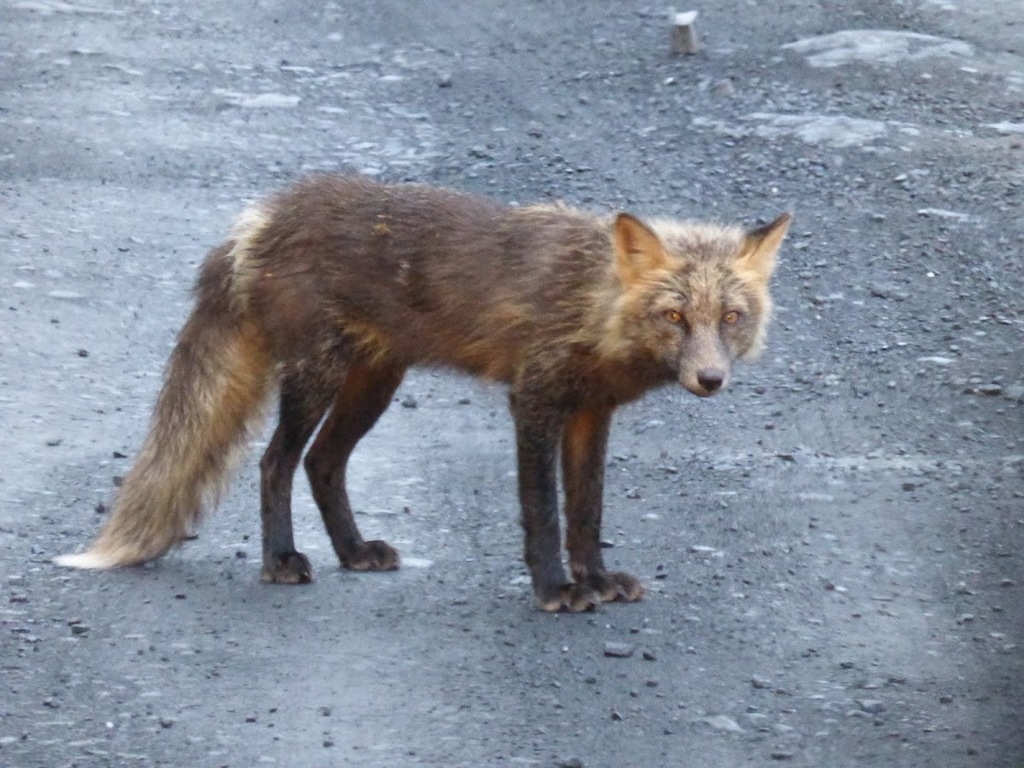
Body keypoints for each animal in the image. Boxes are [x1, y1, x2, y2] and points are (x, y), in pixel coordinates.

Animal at [55, 175, 790, 612]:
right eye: (675, 316)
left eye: (730, 317)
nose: (711, 379)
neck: (592, 303)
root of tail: (259, 215)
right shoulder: (534, 399)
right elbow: (544, 512)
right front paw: (556, 587)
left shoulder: (591, 412)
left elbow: (587, 512)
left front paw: (597, 580)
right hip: (317, 376)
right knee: (275, 462)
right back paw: (281, 561)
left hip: (375, 384)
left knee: (322, 463)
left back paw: (353, 553)